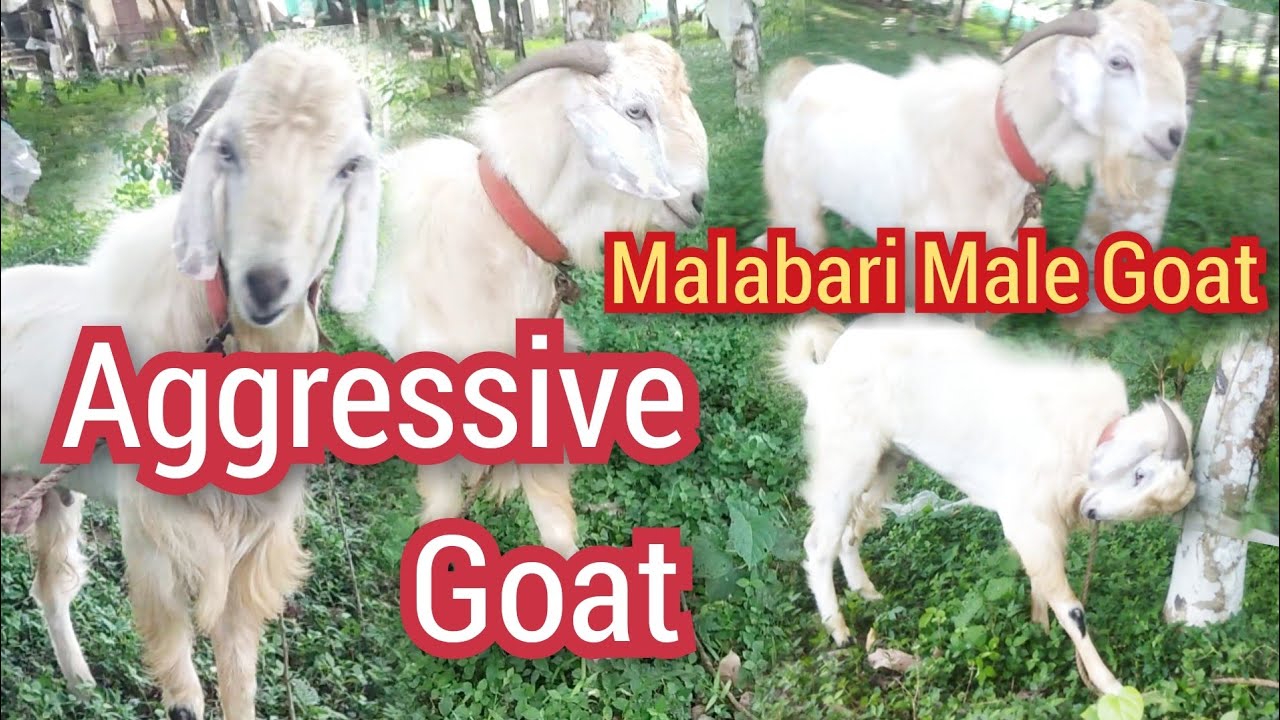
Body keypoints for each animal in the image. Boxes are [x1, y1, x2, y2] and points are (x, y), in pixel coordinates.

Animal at [0, 42, 380, 720]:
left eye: (348, 165)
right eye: (225, 148)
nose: (265, 286)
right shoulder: (155, 536)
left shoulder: (253, 541)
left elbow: (239, 671)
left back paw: (81, 683)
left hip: (50, 493)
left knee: (51, 586)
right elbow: (184, 689)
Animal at [775, 313, 1195, 695]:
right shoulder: (1030, 521)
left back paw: (866, 591)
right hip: (847, 453)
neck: (1082, 436)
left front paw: (1038, 629)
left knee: (852, 528)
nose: (1092, 513)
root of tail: (823, 370)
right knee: (819, 542)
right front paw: (1111, 685)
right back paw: (839, 630)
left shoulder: (1043, 528)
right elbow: (1072, 609)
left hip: (887, 460)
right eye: (1140, 474)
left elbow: (1039, 586)